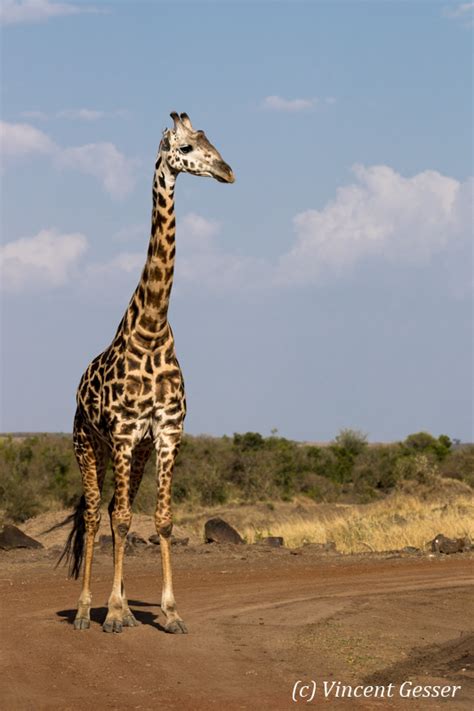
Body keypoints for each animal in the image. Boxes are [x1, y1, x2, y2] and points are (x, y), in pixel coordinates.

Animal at [61, 112, 234, 634]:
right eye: (185, 147)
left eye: (210, 141)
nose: (227, 171)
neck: (153, 328)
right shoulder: (120, 433)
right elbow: (118, 520)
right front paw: (115, 613)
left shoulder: (166, 433)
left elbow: (160, 520)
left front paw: (169, 612)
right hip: (88, 444)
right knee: (96, 514)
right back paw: (86, 611)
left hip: (133, 453)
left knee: (117, 509)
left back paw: (117, 606)